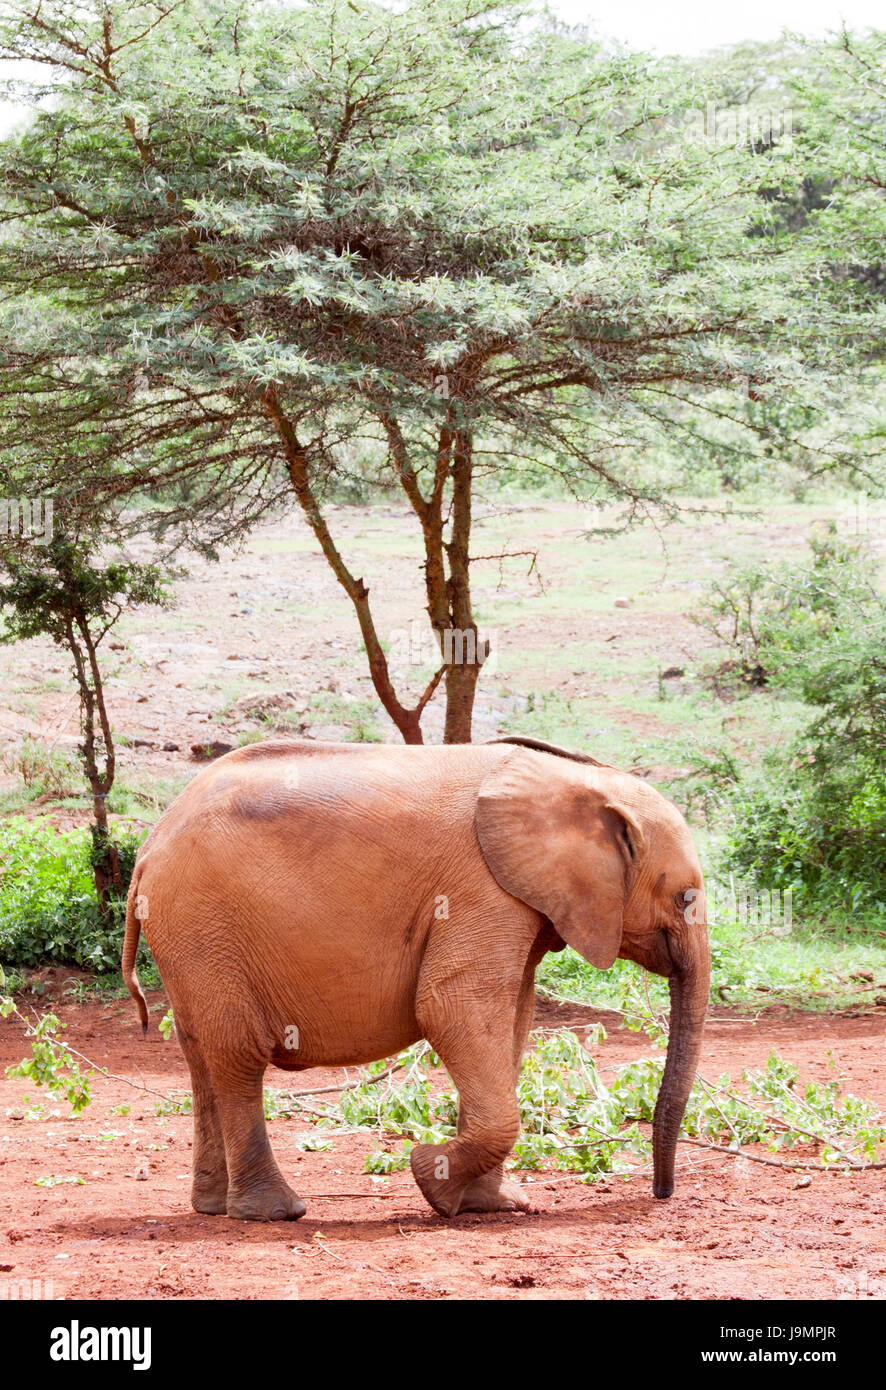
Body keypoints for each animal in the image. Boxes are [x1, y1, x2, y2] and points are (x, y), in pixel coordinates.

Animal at [122, 735, 710, 1222]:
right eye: (686, 897)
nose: (660, 1194)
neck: (578, 779)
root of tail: (148, 850)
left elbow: (511, 1022)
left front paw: (490, 1204)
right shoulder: (482, 889)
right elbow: (455, 1008)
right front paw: (431, 1177)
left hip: (188, 936)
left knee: (201, 1054)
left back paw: (211, 1206)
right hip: (203, 921)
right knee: (238, 1054)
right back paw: (275, 1212)